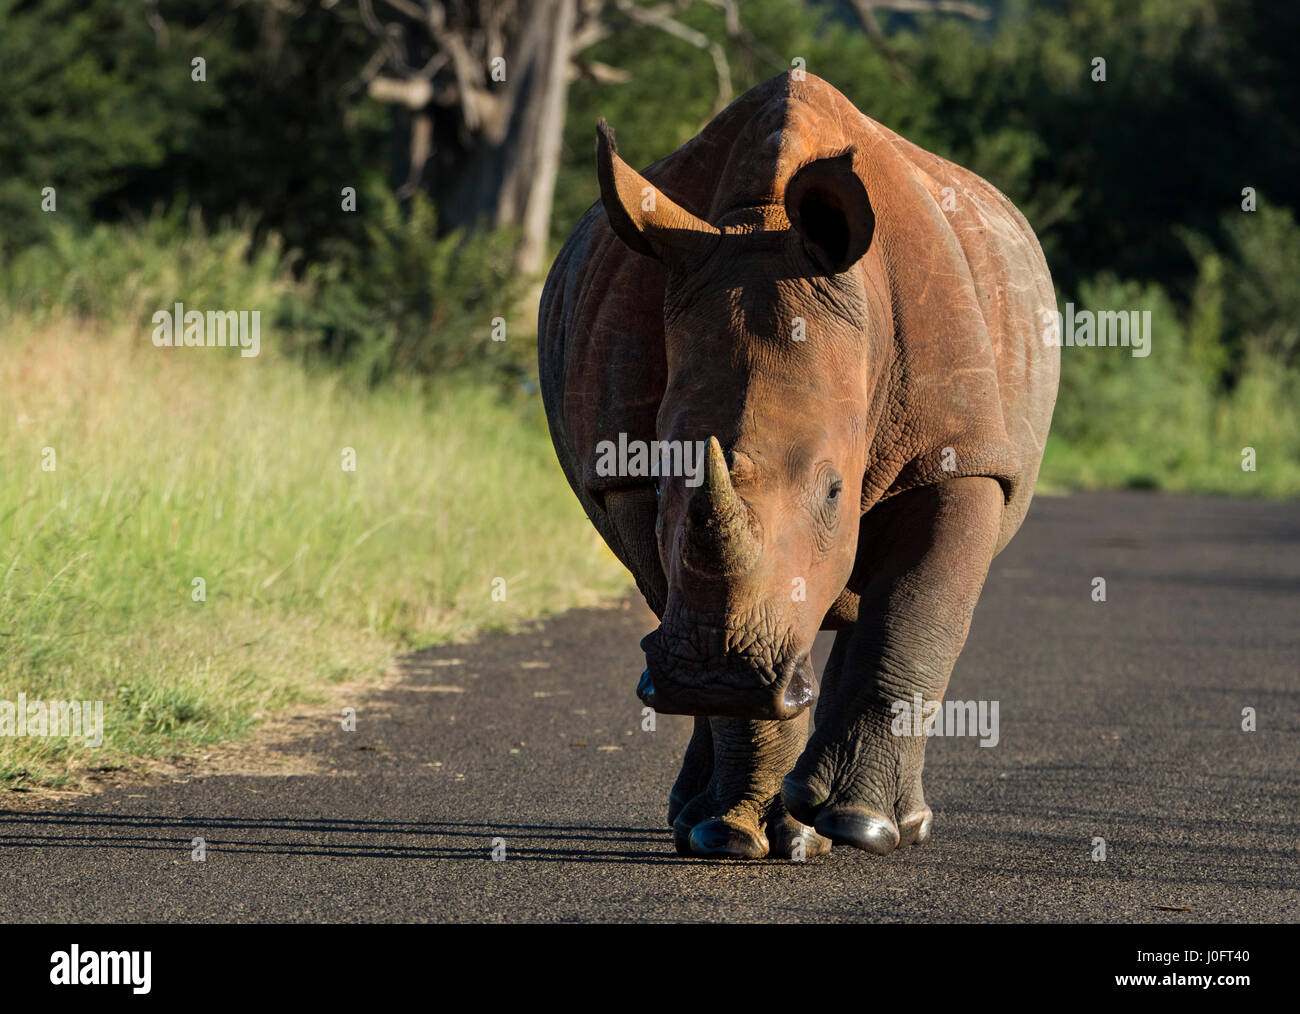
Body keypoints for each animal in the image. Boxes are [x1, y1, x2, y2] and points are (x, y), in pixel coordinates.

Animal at [539, 72, 1058, 859]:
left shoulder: (962, 457)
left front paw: (862, 827)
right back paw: (704, 817)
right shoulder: (622, 474)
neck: (766, 220)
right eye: (660, 474)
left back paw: (875, 822)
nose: (717, 675)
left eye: (836, 491)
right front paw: (733, 835)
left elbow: (916, 619)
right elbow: (685, 582)